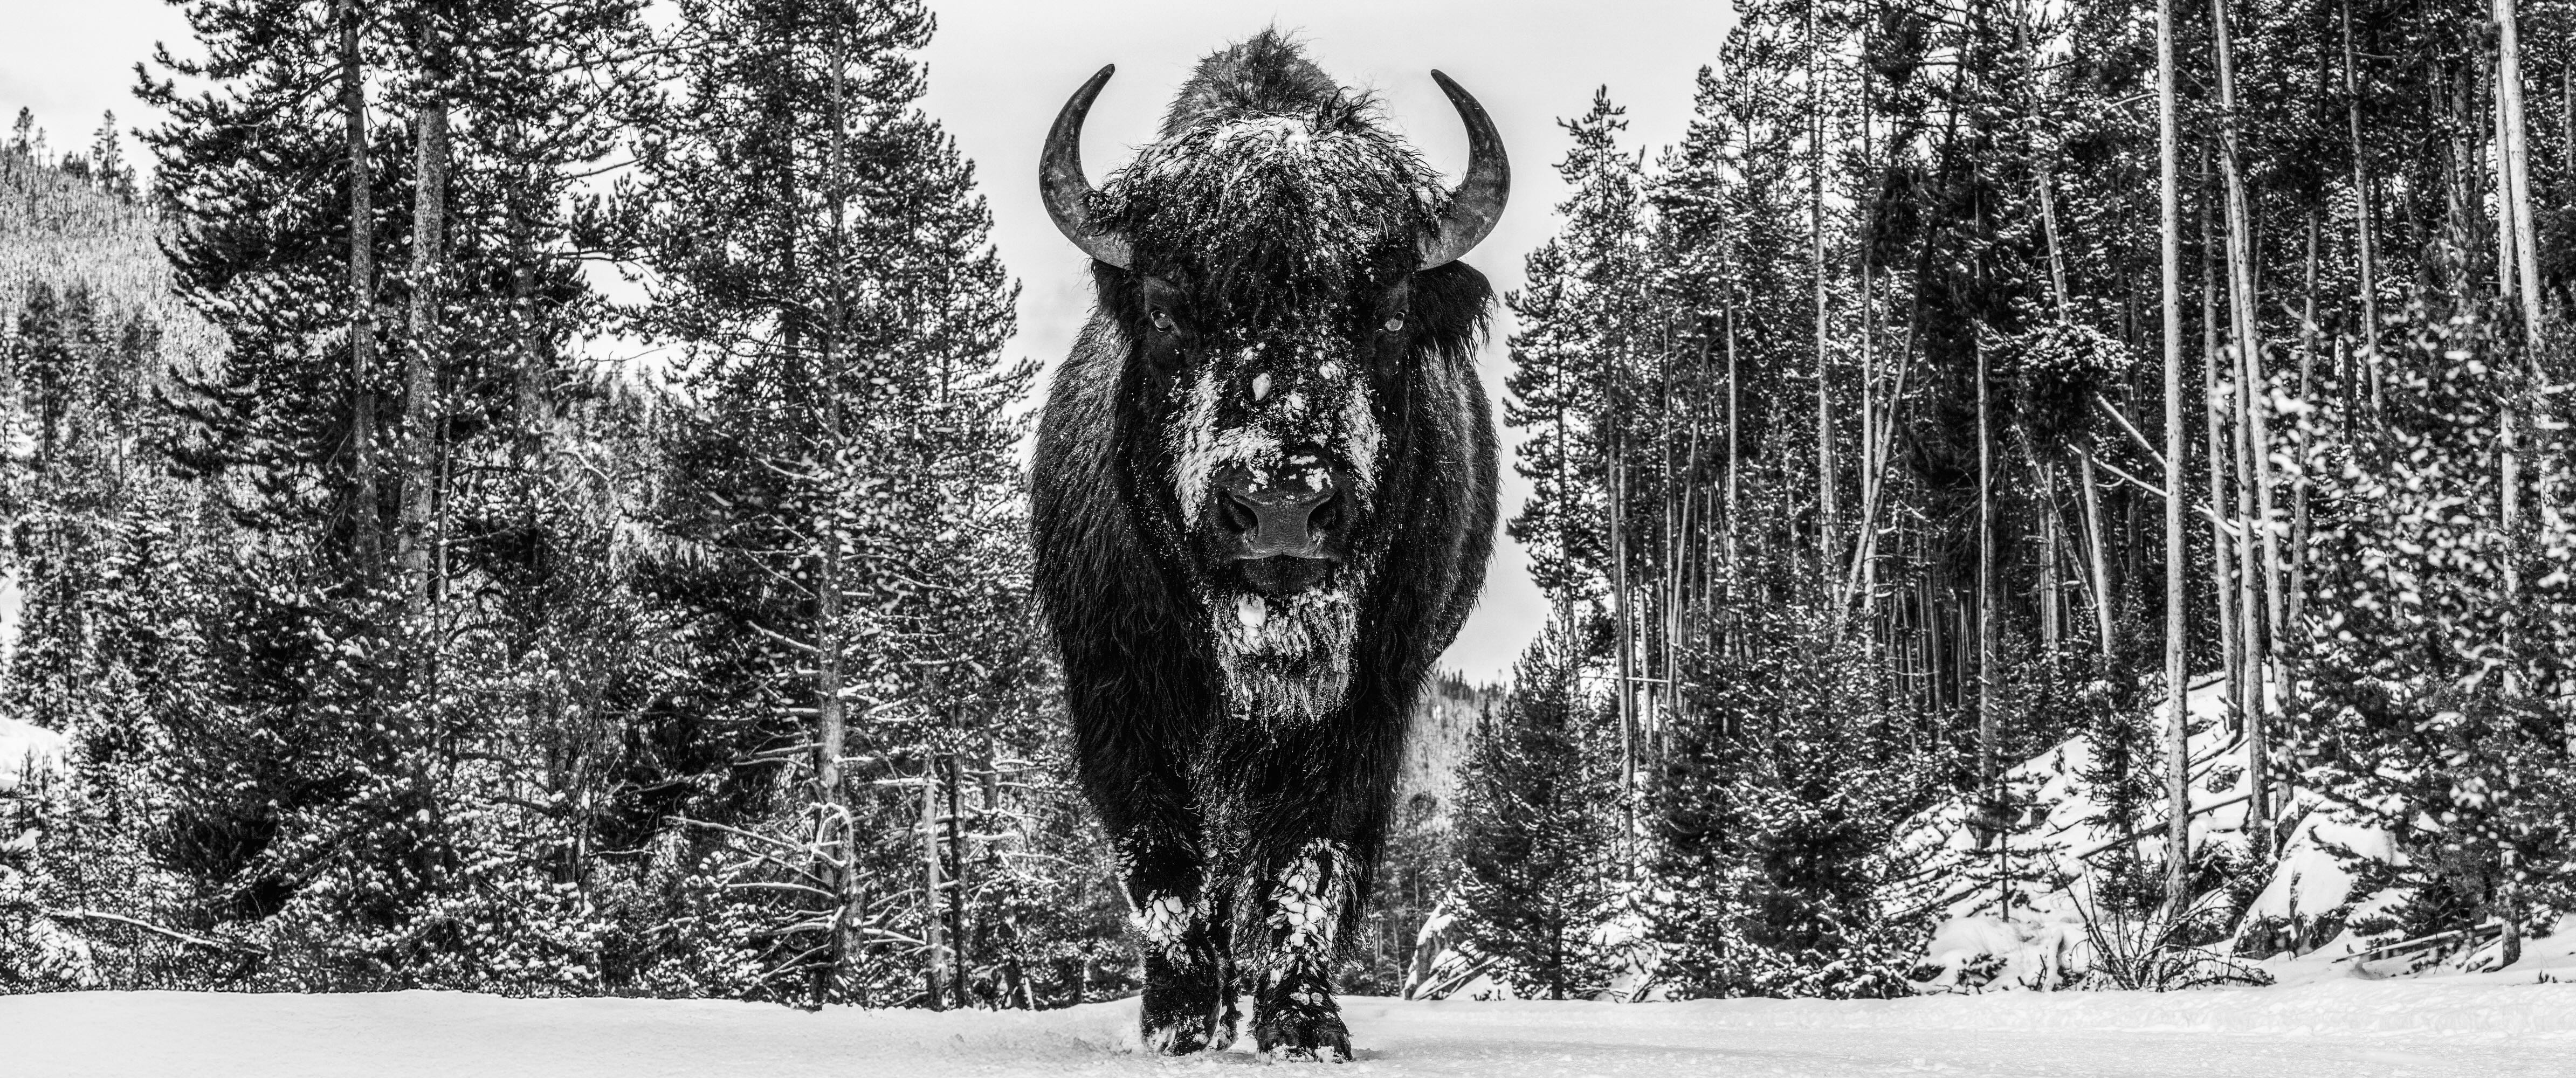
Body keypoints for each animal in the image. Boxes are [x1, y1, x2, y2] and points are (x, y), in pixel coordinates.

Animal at [1029, 32, 1505, 1060]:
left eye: (1388, 308)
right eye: (1166, 305)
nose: (1282, 508)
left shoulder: (1369, 703)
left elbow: (1308, 859)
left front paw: (1304, 1023)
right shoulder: (1116, 688)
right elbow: (1161, 856)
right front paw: (1177, 1021)